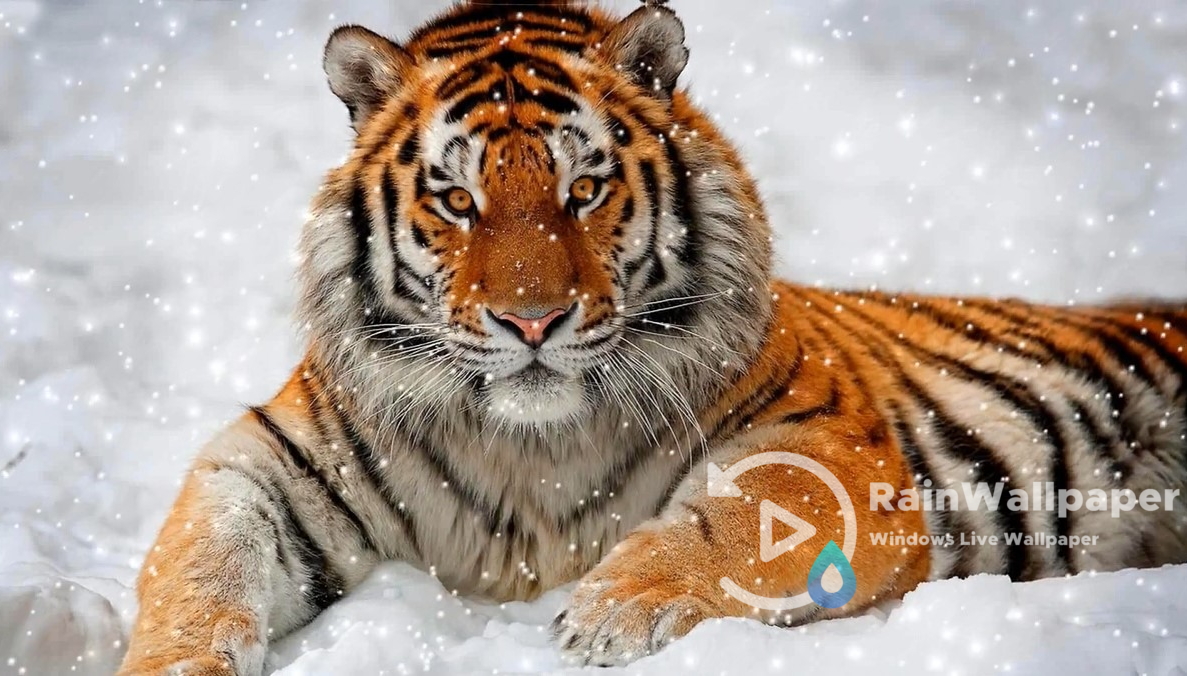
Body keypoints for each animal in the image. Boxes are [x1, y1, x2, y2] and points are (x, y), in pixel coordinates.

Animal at [117, 0, 1187, 673]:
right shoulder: (271, 459)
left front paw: (605, 614)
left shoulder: (830, 443)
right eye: (457, 201)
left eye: (583, 189)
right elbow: (200, 564)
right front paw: (174, 663)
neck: (530, 449)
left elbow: (736, 523)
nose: (531, 320)